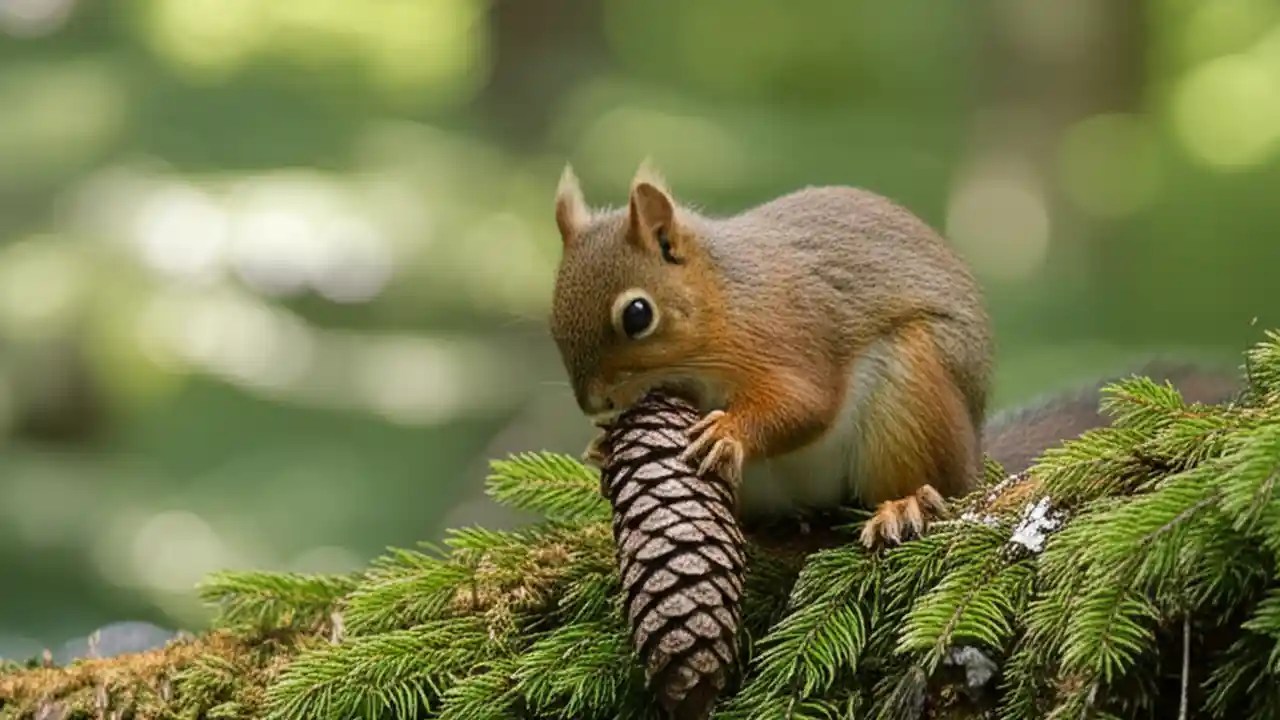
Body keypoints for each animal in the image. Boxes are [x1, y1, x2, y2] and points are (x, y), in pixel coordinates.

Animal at [549, 161, 993, 547]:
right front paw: (602, 446)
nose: (594, 404)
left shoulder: (785, 334)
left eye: (638, 315)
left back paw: (905, 505)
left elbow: (804, 404)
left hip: (912, 401)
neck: (723, 301)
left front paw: (728, 432)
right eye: (553, 323)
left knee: (931, 481)